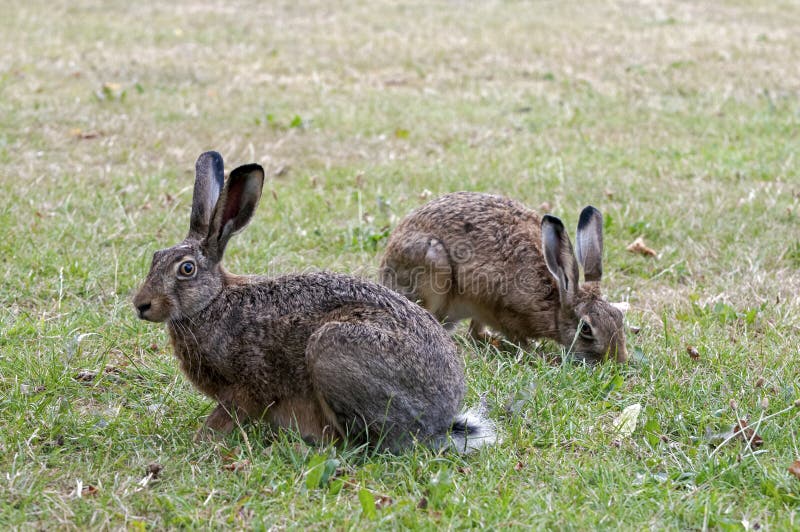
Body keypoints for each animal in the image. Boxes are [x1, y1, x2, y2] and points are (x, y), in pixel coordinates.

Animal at [132, 152, 495, 453]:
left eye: (186, 269)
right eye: (155, 258)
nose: (141, 305)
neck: (213, 302)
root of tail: (439, 421)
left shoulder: (244, 388)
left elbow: (226, 415)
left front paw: (202, 440)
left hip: (332, 350)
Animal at [379, 192, 627, 363]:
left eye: (619, 317)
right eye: (586, 329)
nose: (618, 360)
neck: (554, 300)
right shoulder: (505, 311)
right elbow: (519, 339)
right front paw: (537, 355)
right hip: (433, 273)